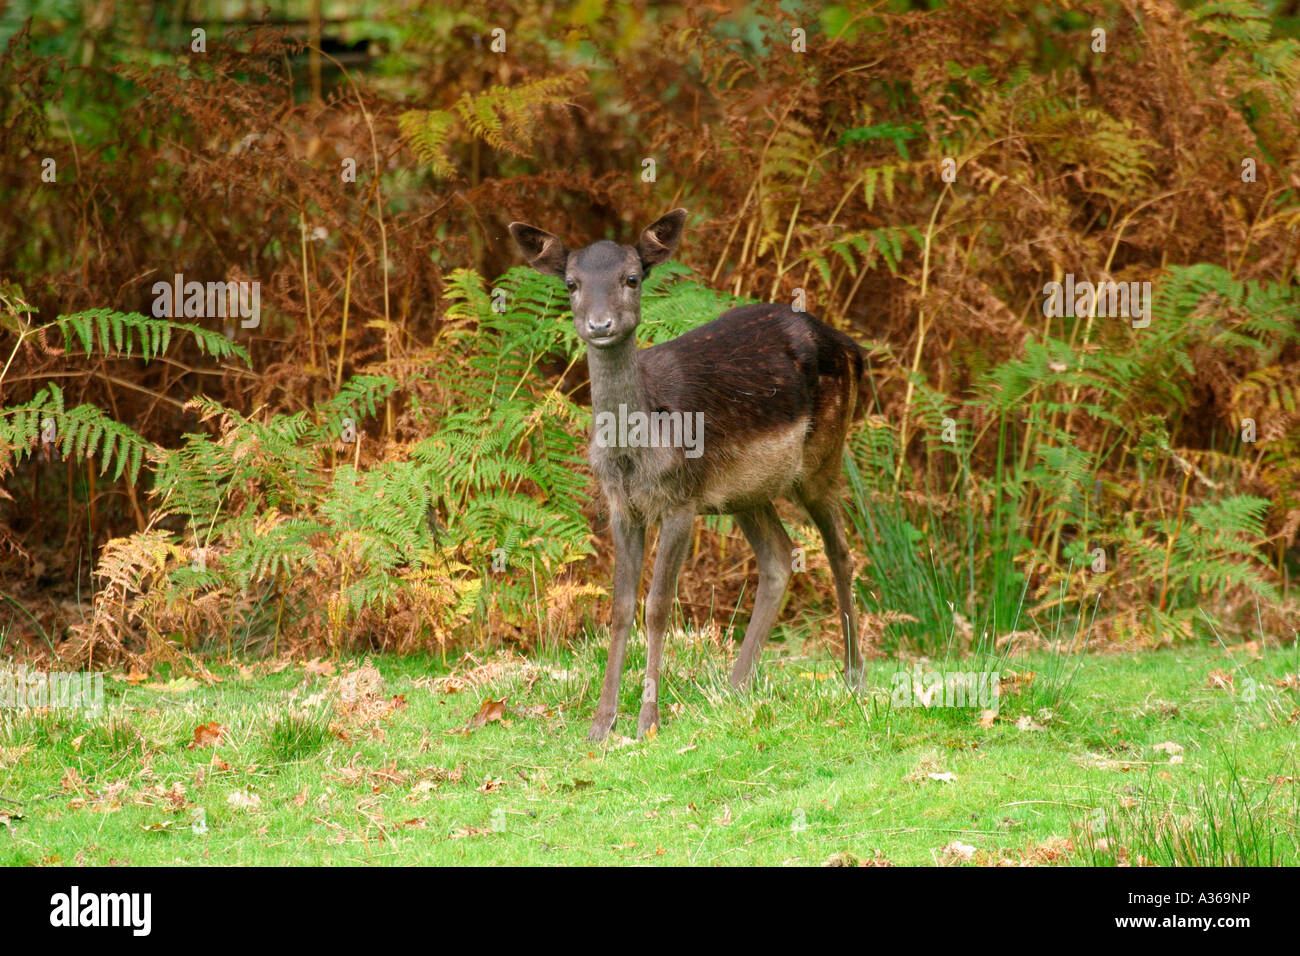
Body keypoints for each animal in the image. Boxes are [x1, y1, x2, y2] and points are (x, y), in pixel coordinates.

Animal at [508, 209, 868, 740]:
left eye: (631, 278)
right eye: (571, 283)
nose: (600, 324)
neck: (634, 452)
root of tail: (851, 346)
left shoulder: (680, 500)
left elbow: (658, 606)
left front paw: (647, 721)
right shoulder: (621, 506)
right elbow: (620, 608)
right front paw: (600, 723)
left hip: (823, 456)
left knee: (841, 552)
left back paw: (854, 678)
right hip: (745, 492)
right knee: (780, 557)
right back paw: (735, 687)